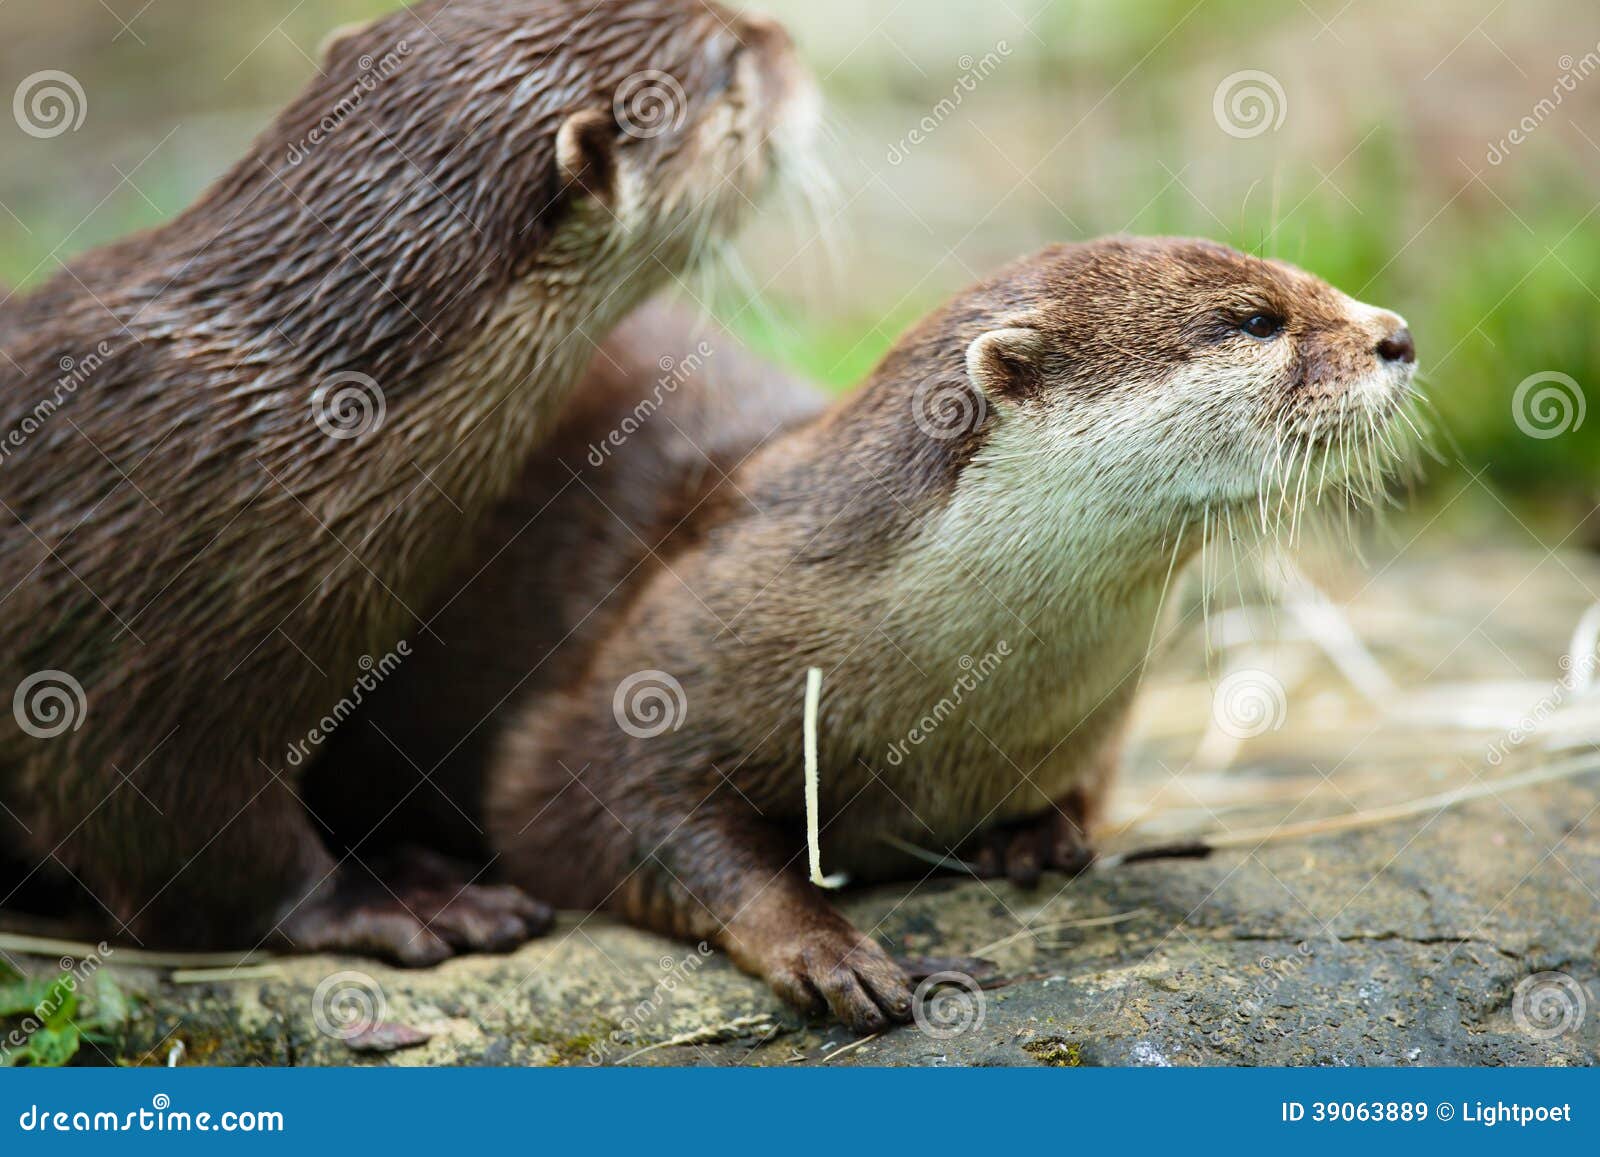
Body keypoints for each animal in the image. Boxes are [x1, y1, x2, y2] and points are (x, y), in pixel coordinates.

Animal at [0, 0, 816, 964]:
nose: (791, 38)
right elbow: (175, 836)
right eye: (731, 61)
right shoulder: (115, 669)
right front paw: (399, 896)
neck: (289, 425)